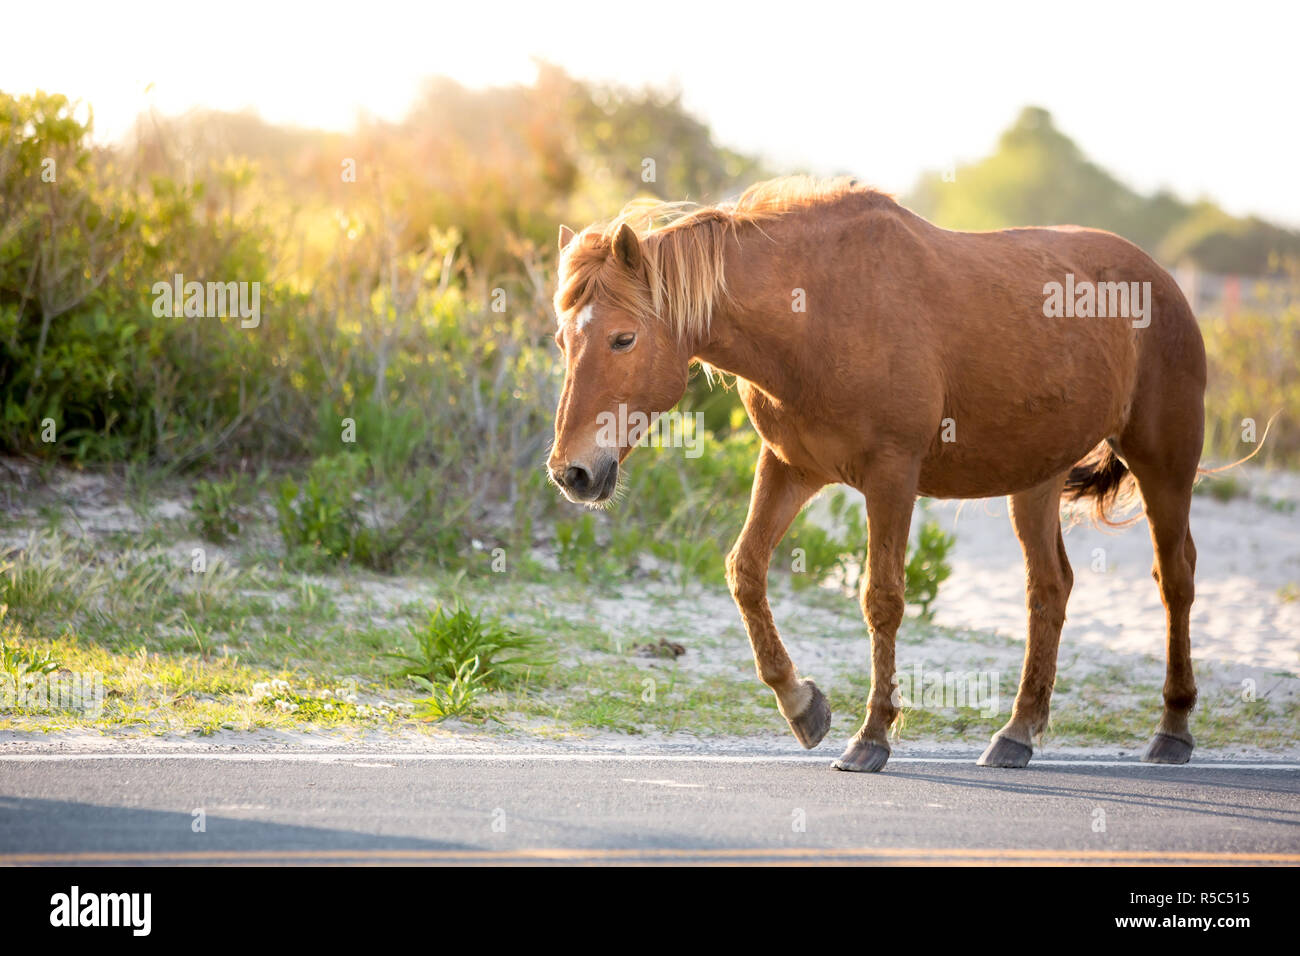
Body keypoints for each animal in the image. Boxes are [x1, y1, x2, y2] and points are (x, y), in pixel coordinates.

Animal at [547, 176, 1205, 772]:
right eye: (561, 340)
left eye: (623, 338)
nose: (570, 472)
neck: (815, 313)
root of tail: (1163, 279)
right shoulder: (789, 468)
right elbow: (746, 572)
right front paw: (802, 706)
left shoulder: (891, 477)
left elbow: (881, 599)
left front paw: (871, 737)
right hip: (1035, 481)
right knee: (1049, 589)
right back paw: (1017, 732)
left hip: (1164, 467)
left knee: (1175, 579)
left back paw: (1172, 728)